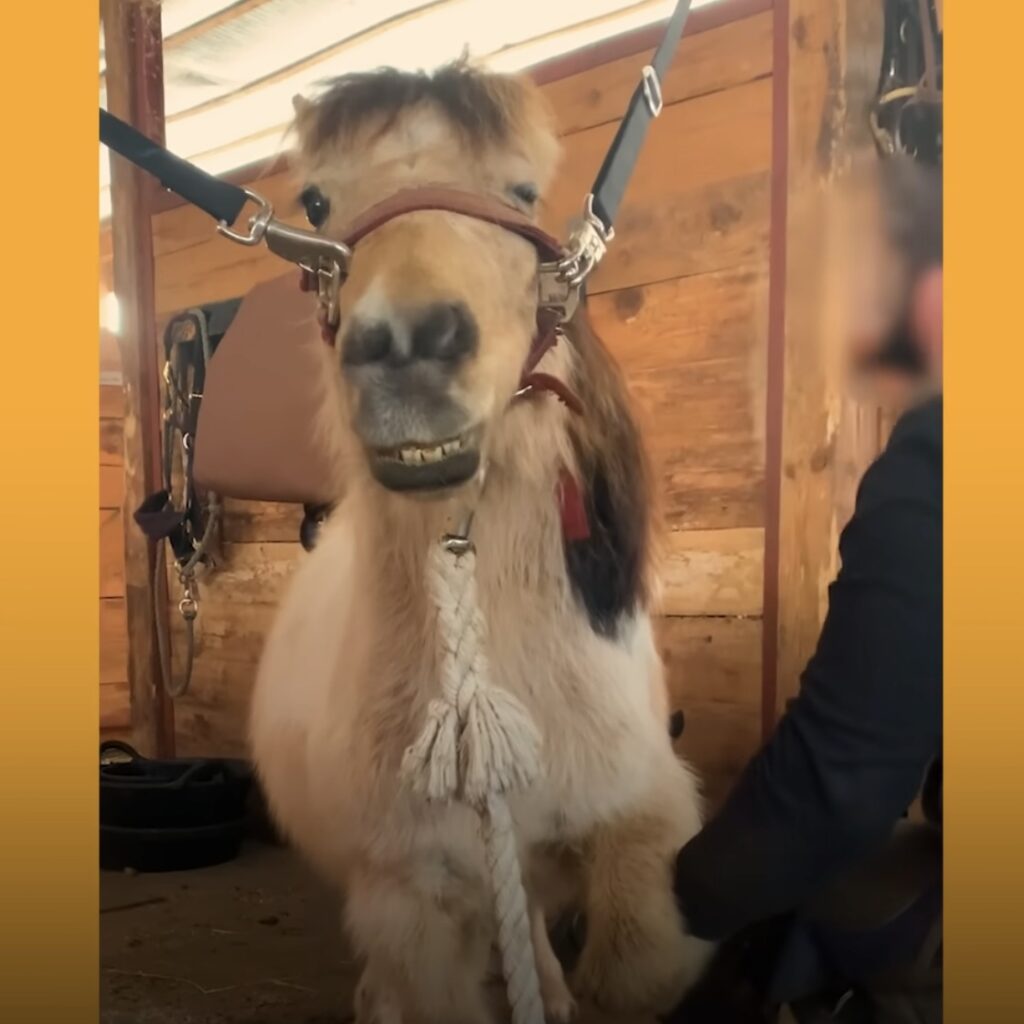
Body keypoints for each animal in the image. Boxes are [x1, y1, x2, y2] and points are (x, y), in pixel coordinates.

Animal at [250, 61, 711, 1024]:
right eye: (315, 202)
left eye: (524, 189)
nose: (407, 344)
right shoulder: (411, 893)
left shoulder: (637, 822)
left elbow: (638, 969)